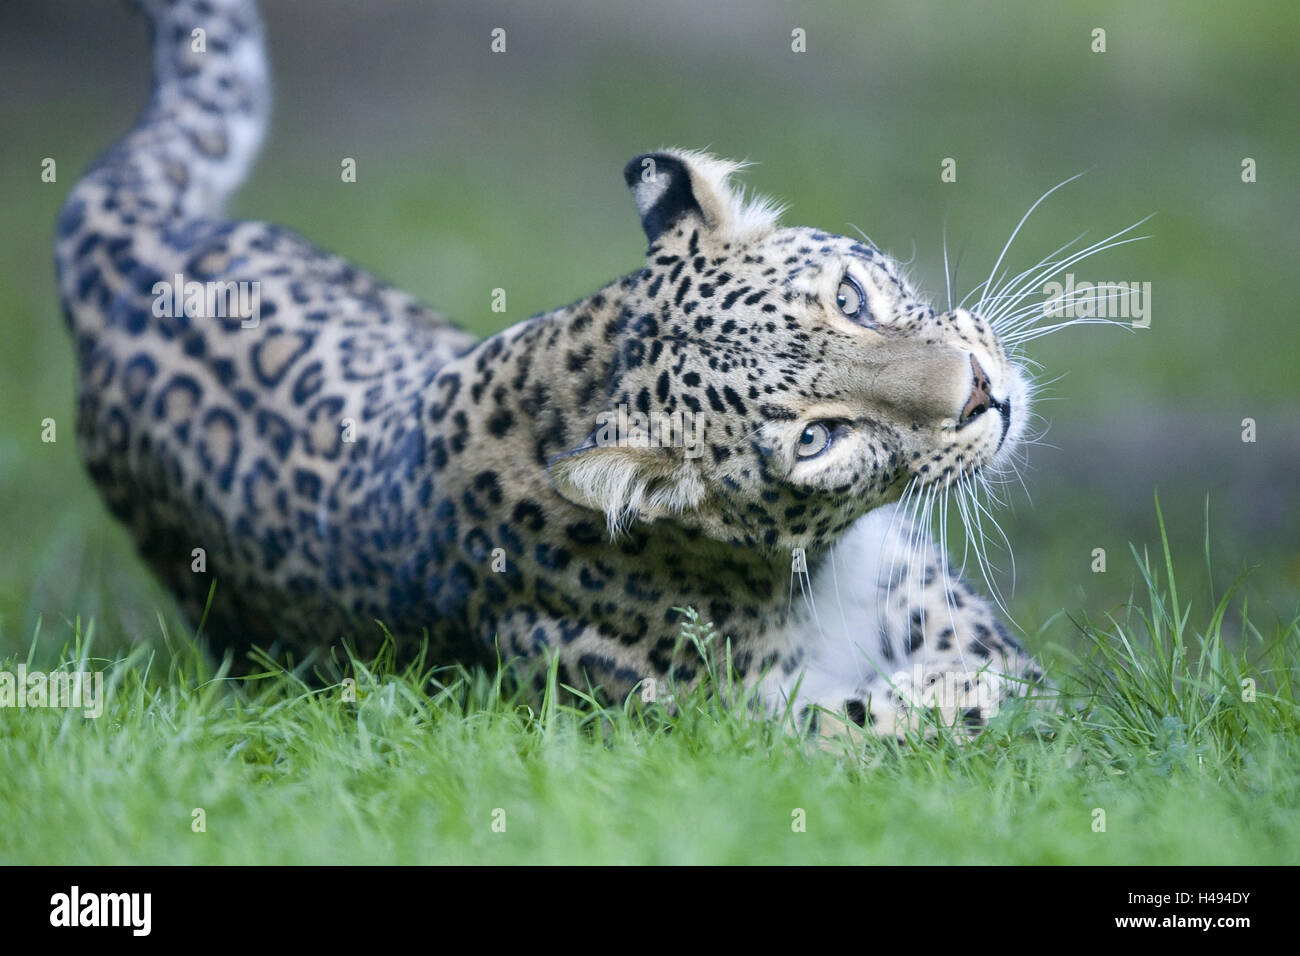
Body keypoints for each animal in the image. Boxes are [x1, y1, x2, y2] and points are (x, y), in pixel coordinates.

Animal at [54, 0, 1052, 739]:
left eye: (849, 296)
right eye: (815, 439)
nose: (980, 393)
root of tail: (117, 248)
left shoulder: (961, 623)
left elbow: (1001, 678)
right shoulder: (709, 730)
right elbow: (878, 719)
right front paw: (947, 702)